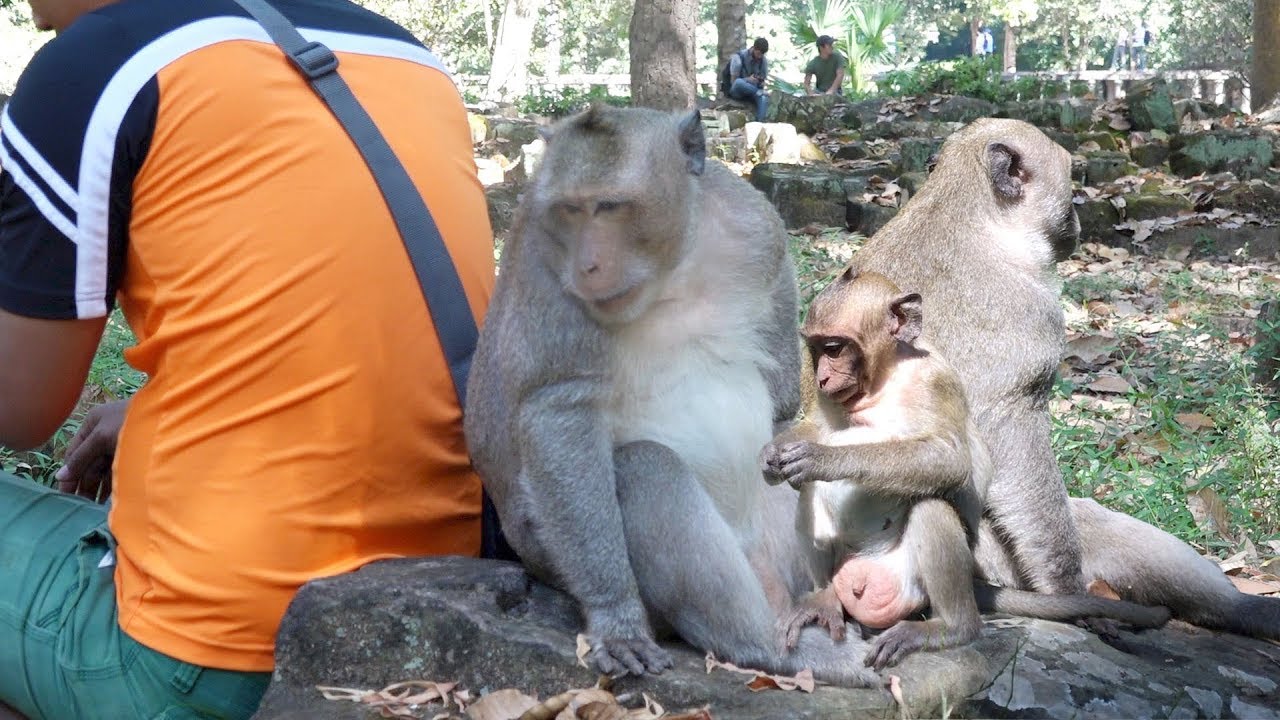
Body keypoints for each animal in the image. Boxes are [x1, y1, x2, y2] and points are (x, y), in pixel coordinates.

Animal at [463, 105, 889, 687]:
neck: (671, 266)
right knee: (645, 468)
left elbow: (779, 395)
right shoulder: (545, 264)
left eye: (610, 206)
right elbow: (559, 413)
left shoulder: (755, 222)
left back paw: (820, 602)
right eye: (571, 210)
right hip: (553, 554)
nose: (587, 265)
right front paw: (616, 619)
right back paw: (773, 648)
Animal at [761, 269, 1170, 670]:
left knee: (930, 507)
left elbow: (950, 463)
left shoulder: (934, 381)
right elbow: (814, 427)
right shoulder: (832, 400)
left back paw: (953, 628)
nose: (822, 377)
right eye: (815, 349)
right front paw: (773, 455)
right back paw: (825, 599)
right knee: (811, 494)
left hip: (910, 586)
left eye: (834, 348)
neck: (882, 382)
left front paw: (822, 457)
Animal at [855, 117, 1280, 641]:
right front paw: (1068, 591)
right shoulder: (1030, 319)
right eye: (1071, 178)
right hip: (994, 560)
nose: (1077, 217)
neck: (959, 211)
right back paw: (1244, 610)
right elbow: (1014, 449)